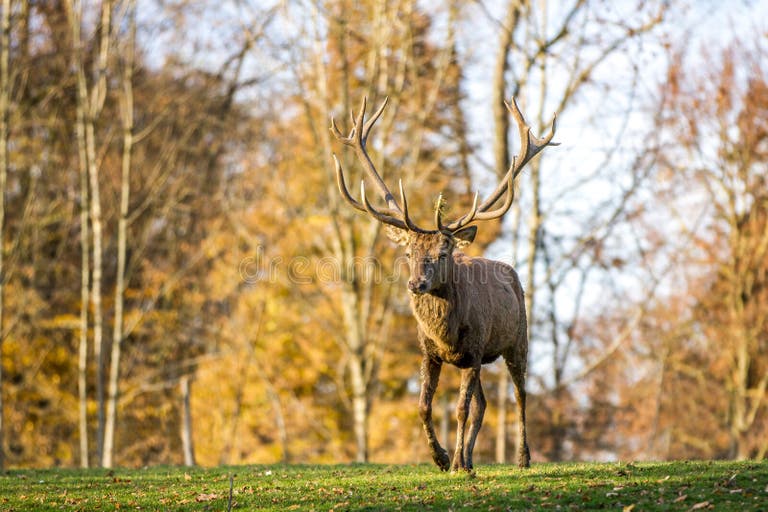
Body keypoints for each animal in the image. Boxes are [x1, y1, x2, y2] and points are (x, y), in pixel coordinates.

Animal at [330, 97, 556, 472]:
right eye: (409, 251)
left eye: (443, 252)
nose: (416, 283)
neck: (446, 335)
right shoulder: (430, 353)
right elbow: (424, 406)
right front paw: (443, 457)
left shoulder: (475, 348)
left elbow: (461, 409)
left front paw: (454, 461)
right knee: (483, 404)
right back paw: (468, 459)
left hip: (517, 339)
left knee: (520, 394)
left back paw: (522, 458)